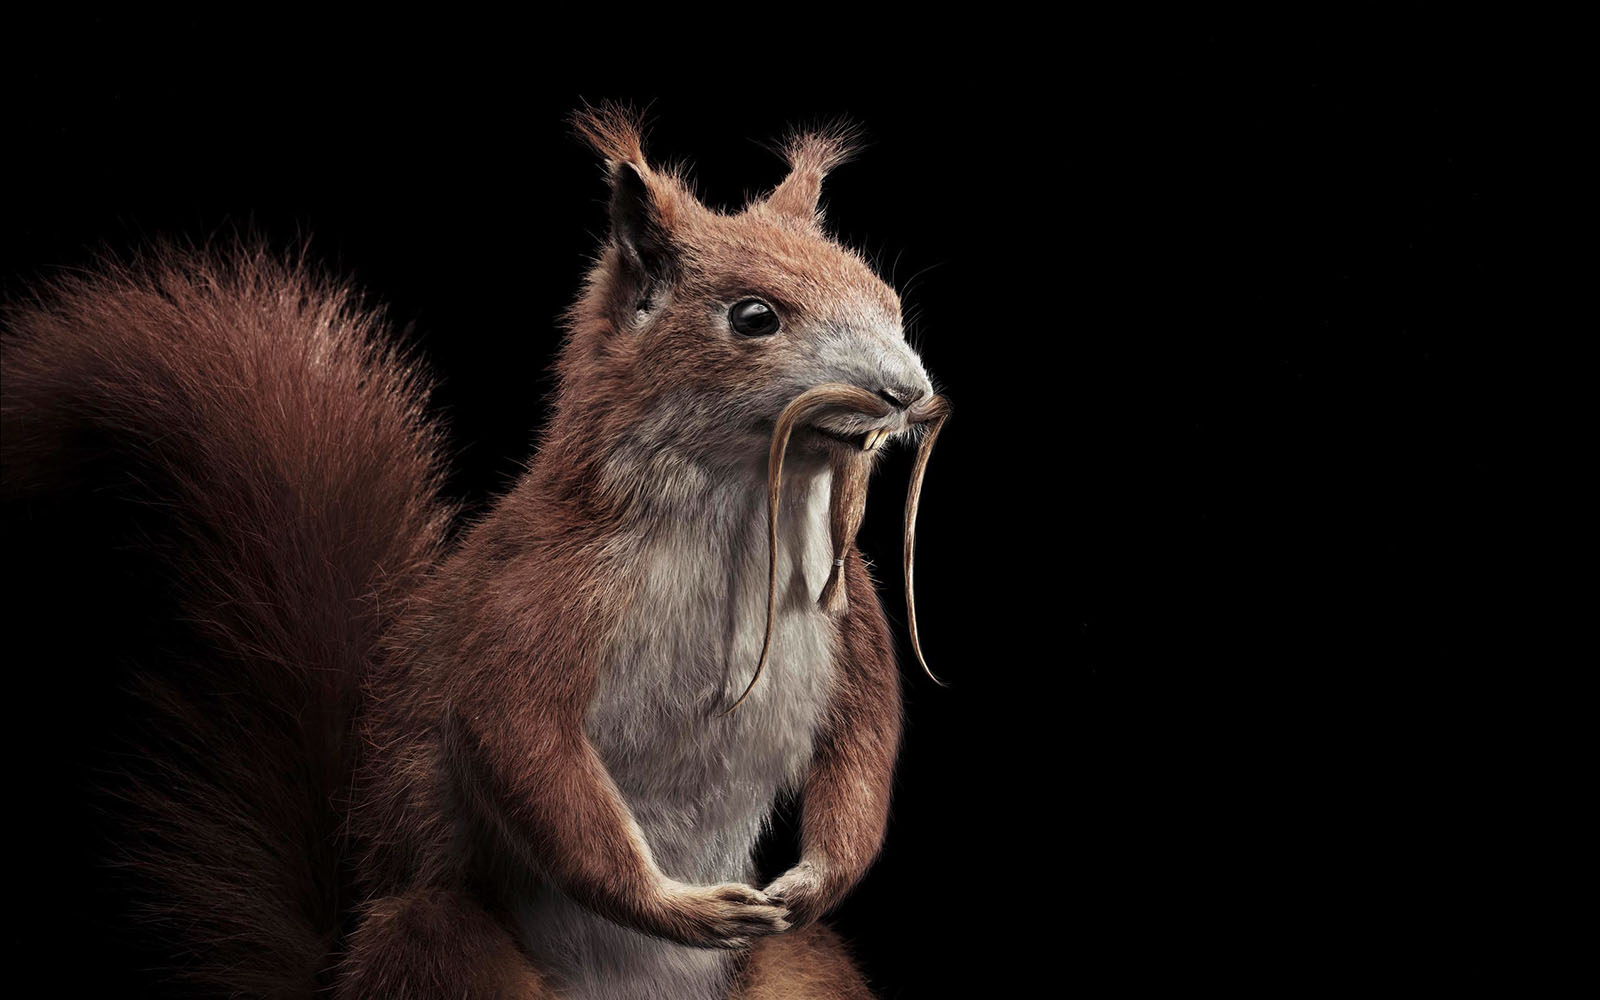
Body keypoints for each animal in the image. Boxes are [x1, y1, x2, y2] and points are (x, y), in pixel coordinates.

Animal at [0, 105, 948, 999]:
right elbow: (515, 731)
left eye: (886, 296)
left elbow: (867, 737)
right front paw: (674, 905)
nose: (910, 392)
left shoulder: (850, 604)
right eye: (753, 317)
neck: (741, 512)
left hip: (799, 968)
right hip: (443, 946)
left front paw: (815, 880)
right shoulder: (538, 589)